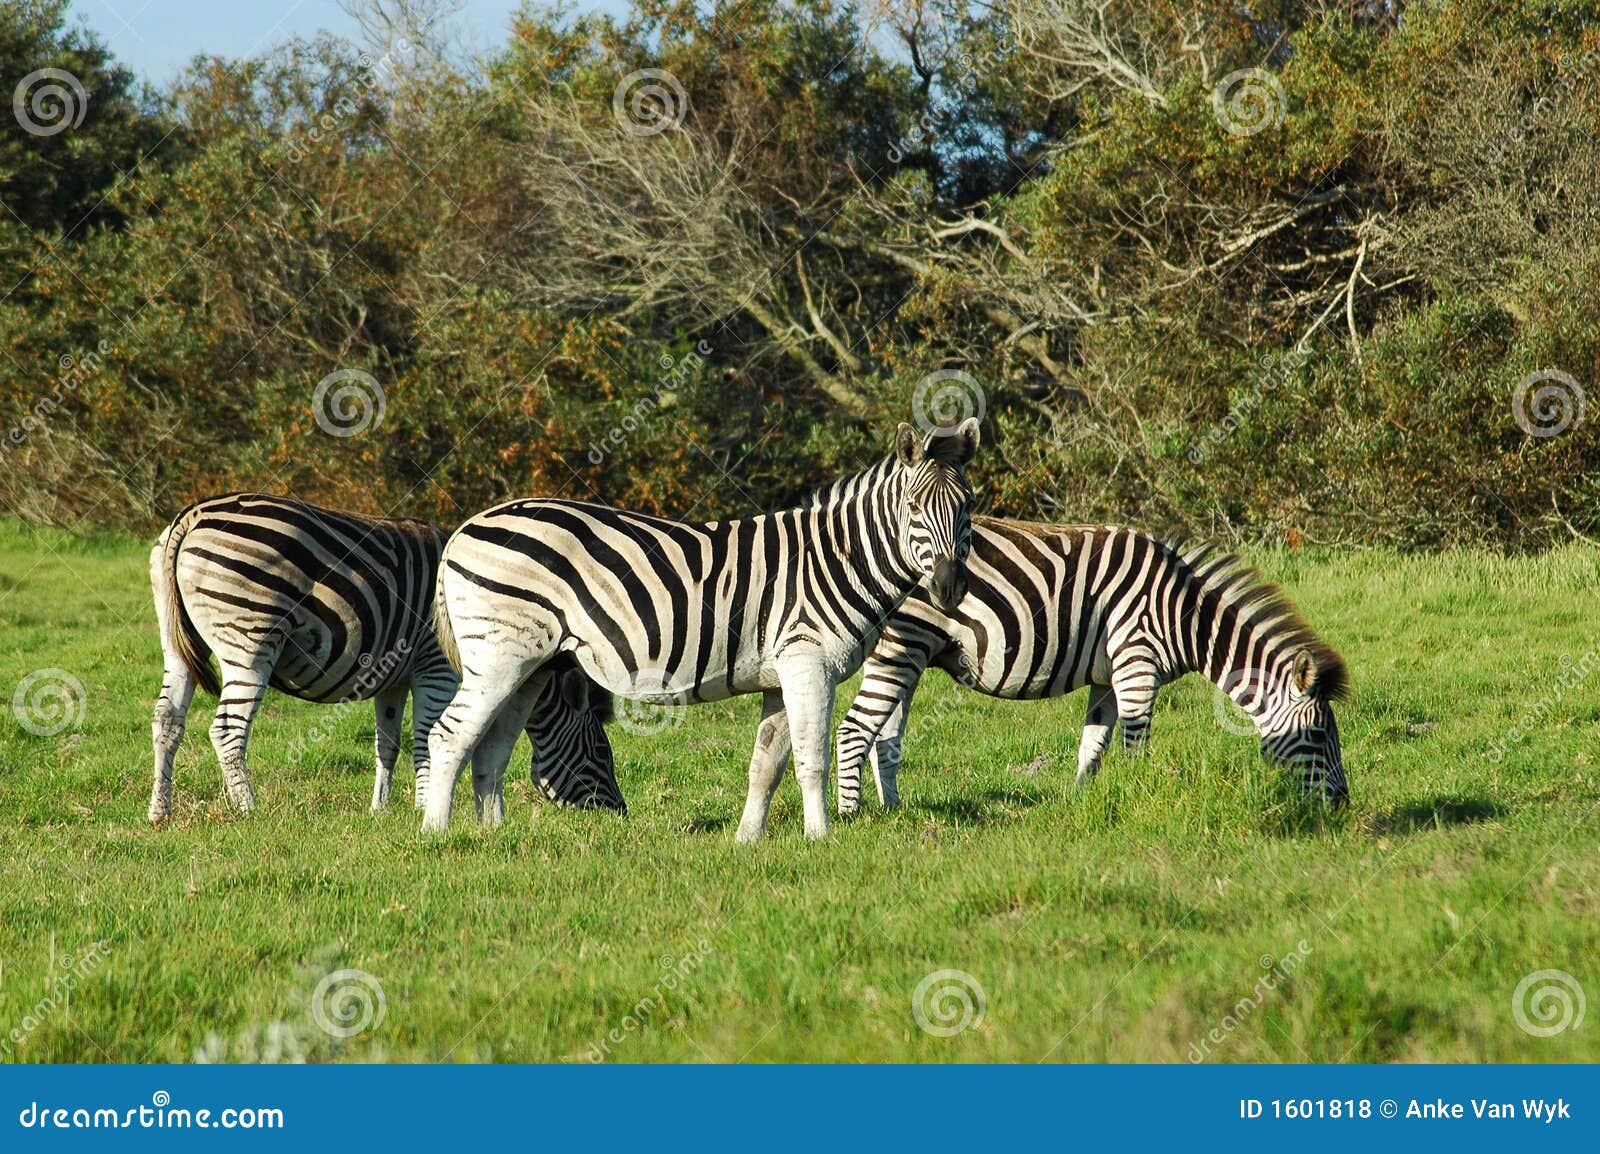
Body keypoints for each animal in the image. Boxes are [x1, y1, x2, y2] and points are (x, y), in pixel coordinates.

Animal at [148, 492, 623, 822]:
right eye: (602, 751)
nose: (619, 813)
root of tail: (192, 516)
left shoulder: (391, 678)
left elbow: (388, 743)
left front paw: (382, 808)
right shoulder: (437, 668)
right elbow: (427, 738)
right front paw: (425, 807)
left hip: (175, 643)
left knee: (167, 719)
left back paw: (159, 811)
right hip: (249, 638)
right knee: (227, 730)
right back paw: (249, 809)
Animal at [421, 418, 981, 840]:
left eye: (968, 507)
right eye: (914, 508)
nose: (950, 588)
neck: (838, 558)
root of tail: (466, 526)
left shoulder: (780, 673)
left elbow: (766, 764)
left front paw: (748, 841)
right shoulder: (808, 661)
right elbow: (810, 758)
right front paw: (820, 838)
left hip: (531, 664)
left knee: (491, 746)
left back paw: (494, 835)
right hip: (500, 656)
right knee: (450, 735)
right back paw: (437, 835)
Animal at [834, 519, 1350, 813]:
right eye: (1319, 735)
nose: (1341, 806)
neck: (1183, 617)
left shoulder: (1107, 679)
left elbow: (1093, 748)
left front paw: (1083, 804)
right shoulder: (1137, 664)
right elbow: (1135, 747)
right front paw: (1140, 799)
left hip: (910, 652)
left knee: (886, 735)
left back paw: (895, 810)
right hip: (904, 641)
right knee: (856, 729)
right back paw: (850, 817)